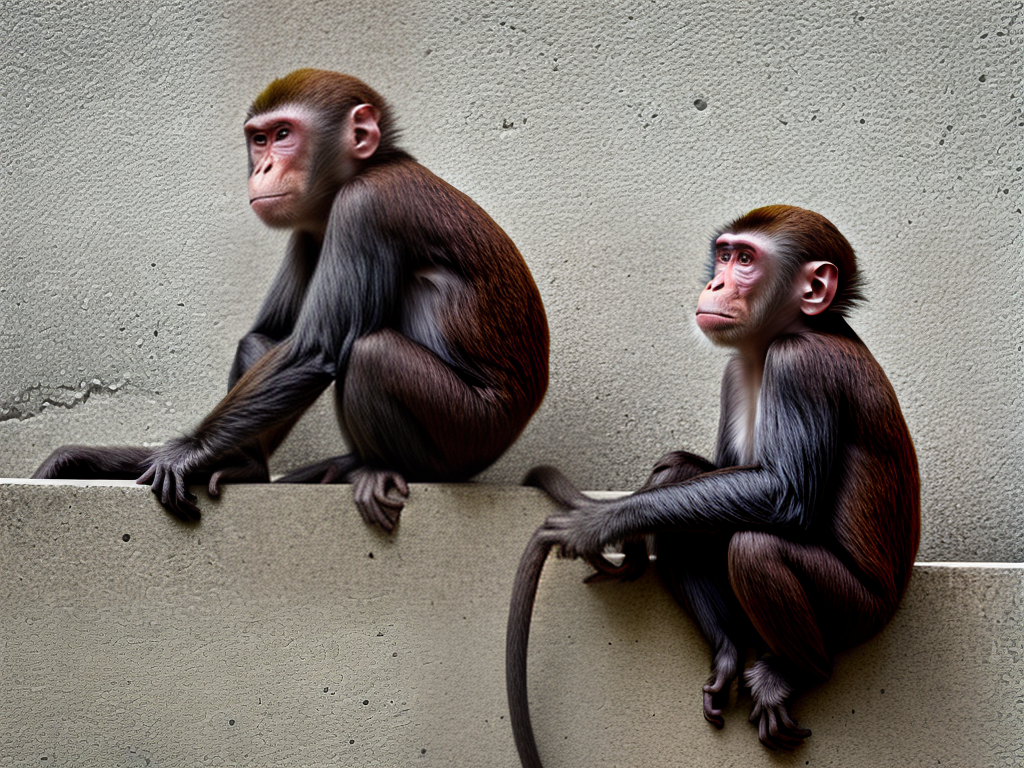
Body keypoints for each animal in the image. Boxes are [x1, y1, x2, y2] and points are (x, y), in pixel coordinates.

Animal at [33, 69, 550, 529]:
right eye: (259, 140)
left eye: (284, 135)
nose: (263, 167)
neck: (375, 164)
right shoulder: (307, 230)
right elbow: (270, 335)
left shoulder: (365, 204)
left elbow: (314, 350)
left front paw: (187, 452)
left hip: (470, 433)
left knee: (371, 353)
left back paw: (382, 469)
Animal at [507, 205, 919, 763]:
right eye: (724, 255)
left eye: (745, 260)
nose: (715, 282)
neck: (787, 333)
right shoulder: (735, 371)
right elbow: (713, 479)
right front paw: (641, 504)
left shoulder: (798, 362)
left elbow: (783, 497)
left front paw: (602, 520)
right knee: (688, 507)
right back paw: (727, 649)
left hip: (860, 611)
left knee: (755, 547)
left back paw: (797, 669)